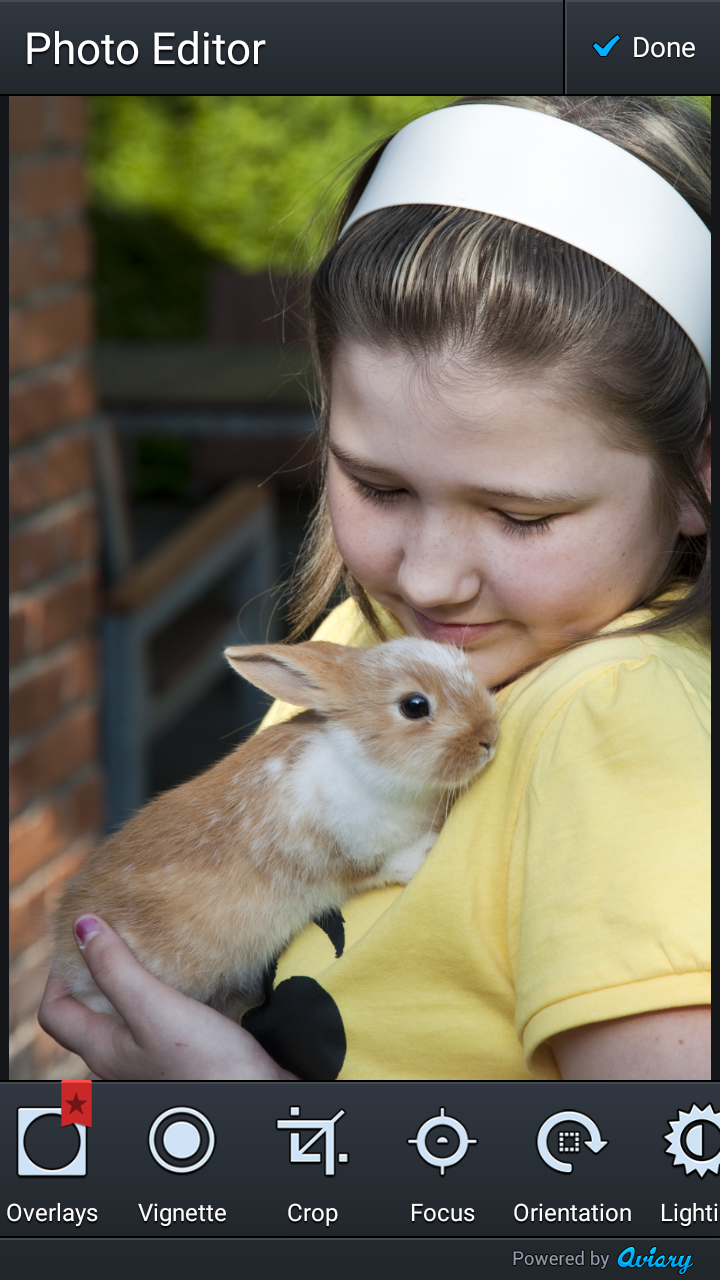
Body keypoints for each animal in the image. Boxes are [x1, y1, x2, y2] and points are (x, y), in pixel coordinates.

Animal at [54, 637, 499, 1020]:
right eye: (414, 705)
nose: (489, 739)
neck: (362, 762)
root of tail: (65, 953)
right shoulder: (333, 851)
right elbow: (372, 868)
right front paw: (423, 852)